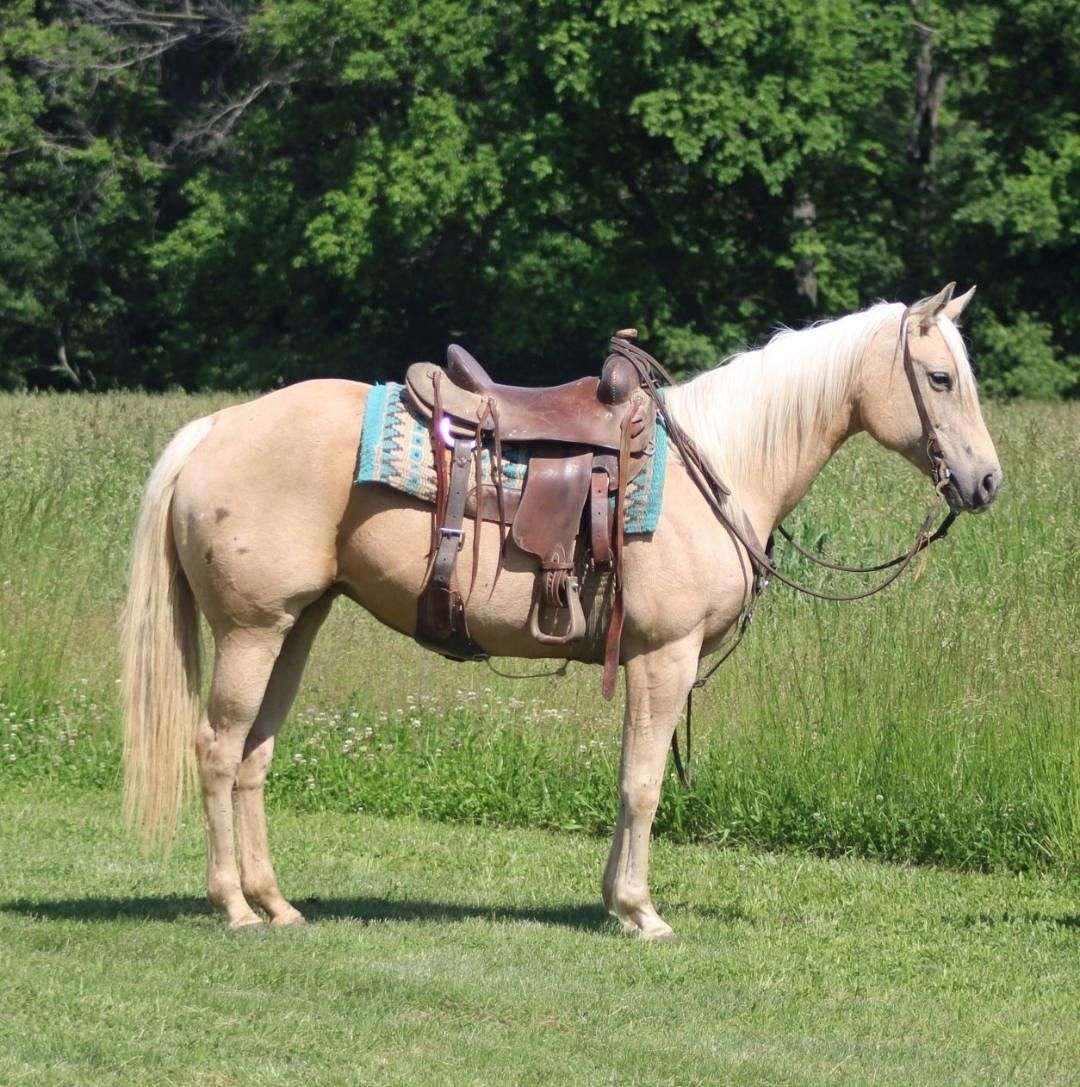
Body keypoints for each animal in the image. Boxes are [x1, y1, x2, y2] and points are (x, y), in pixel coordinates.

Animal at [120, 283, 1001, 940]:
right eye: (942, 379)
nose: (986, 481)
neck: (720, 463)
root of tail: (216, 427)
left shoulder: (643, 657)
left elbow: (625, 776)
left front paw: (615, 901)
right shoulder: (664, 654)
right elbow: (644, 782)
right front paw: (642, 912)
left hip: (296, 626)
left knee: (254, 756)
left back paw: (275, 902)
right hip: (252, 629)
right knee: (217, 747)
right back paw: (234, 905)